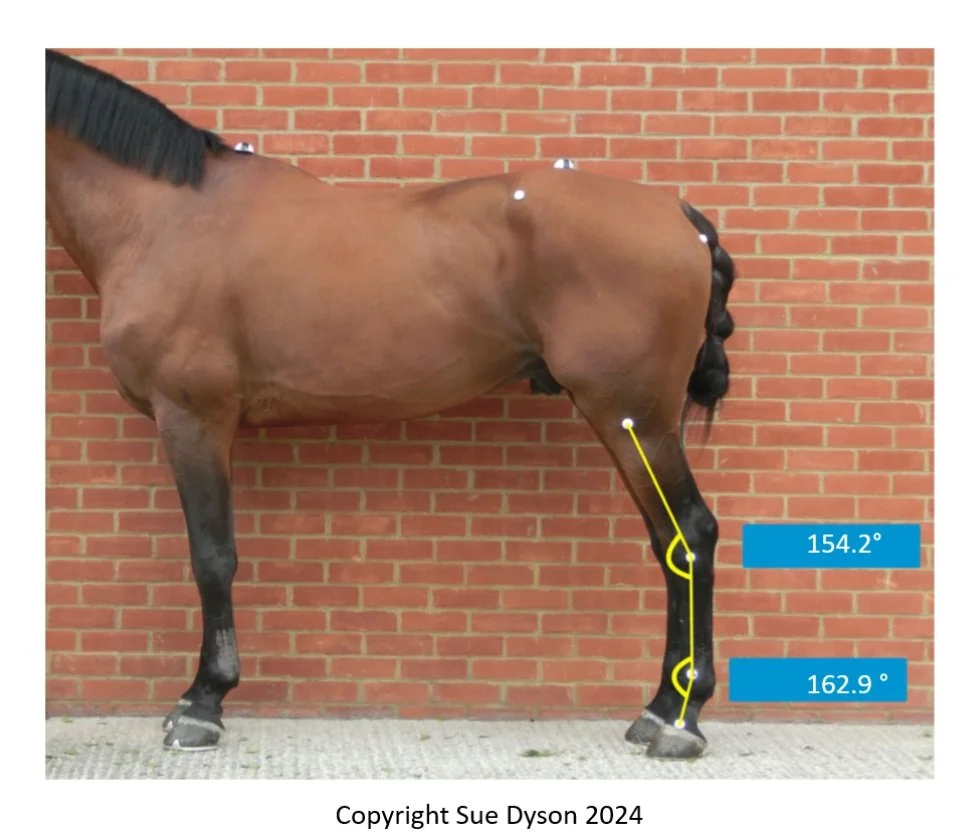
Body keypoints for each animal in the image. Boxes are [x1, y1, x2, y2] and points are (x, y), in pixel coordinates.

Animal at [45, 48, 736, 759]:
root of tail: (680, 218)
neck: (163, 217)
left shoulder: (193, 417)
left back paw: (679, 718)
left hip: (633, 418)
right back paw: (662, 710)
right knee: (672, 541)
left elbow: (212, 555)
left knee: (690, 535)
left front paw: (202, 701)